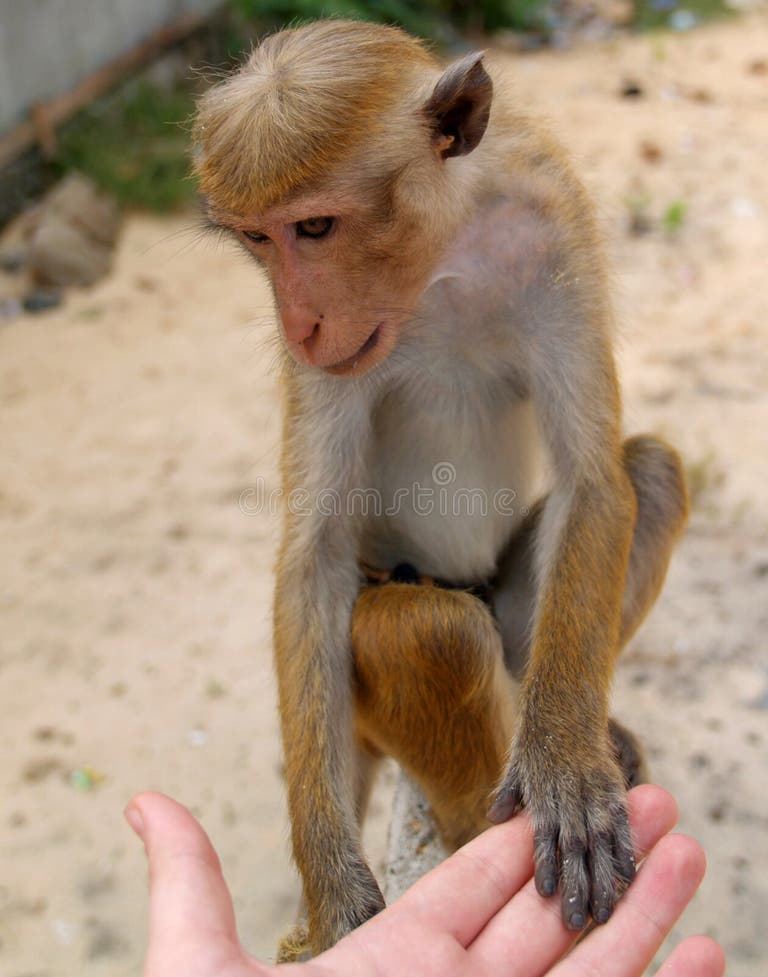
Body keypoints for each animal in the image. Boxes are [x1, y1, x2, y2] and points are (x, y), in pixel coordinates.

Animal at [193, 19, 688, 955]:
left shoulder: (554, 224)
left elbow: (594, 480)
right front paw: (334, 891)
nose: (297, 322)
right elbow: (315, 556)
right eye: (256, 240)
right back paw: (471, 833)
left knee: (651, 474)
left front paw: (567, 762)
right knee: (425, 627)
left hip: (518, 628)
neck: (439, 262)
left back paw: (579, 730)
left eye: (315, 226)